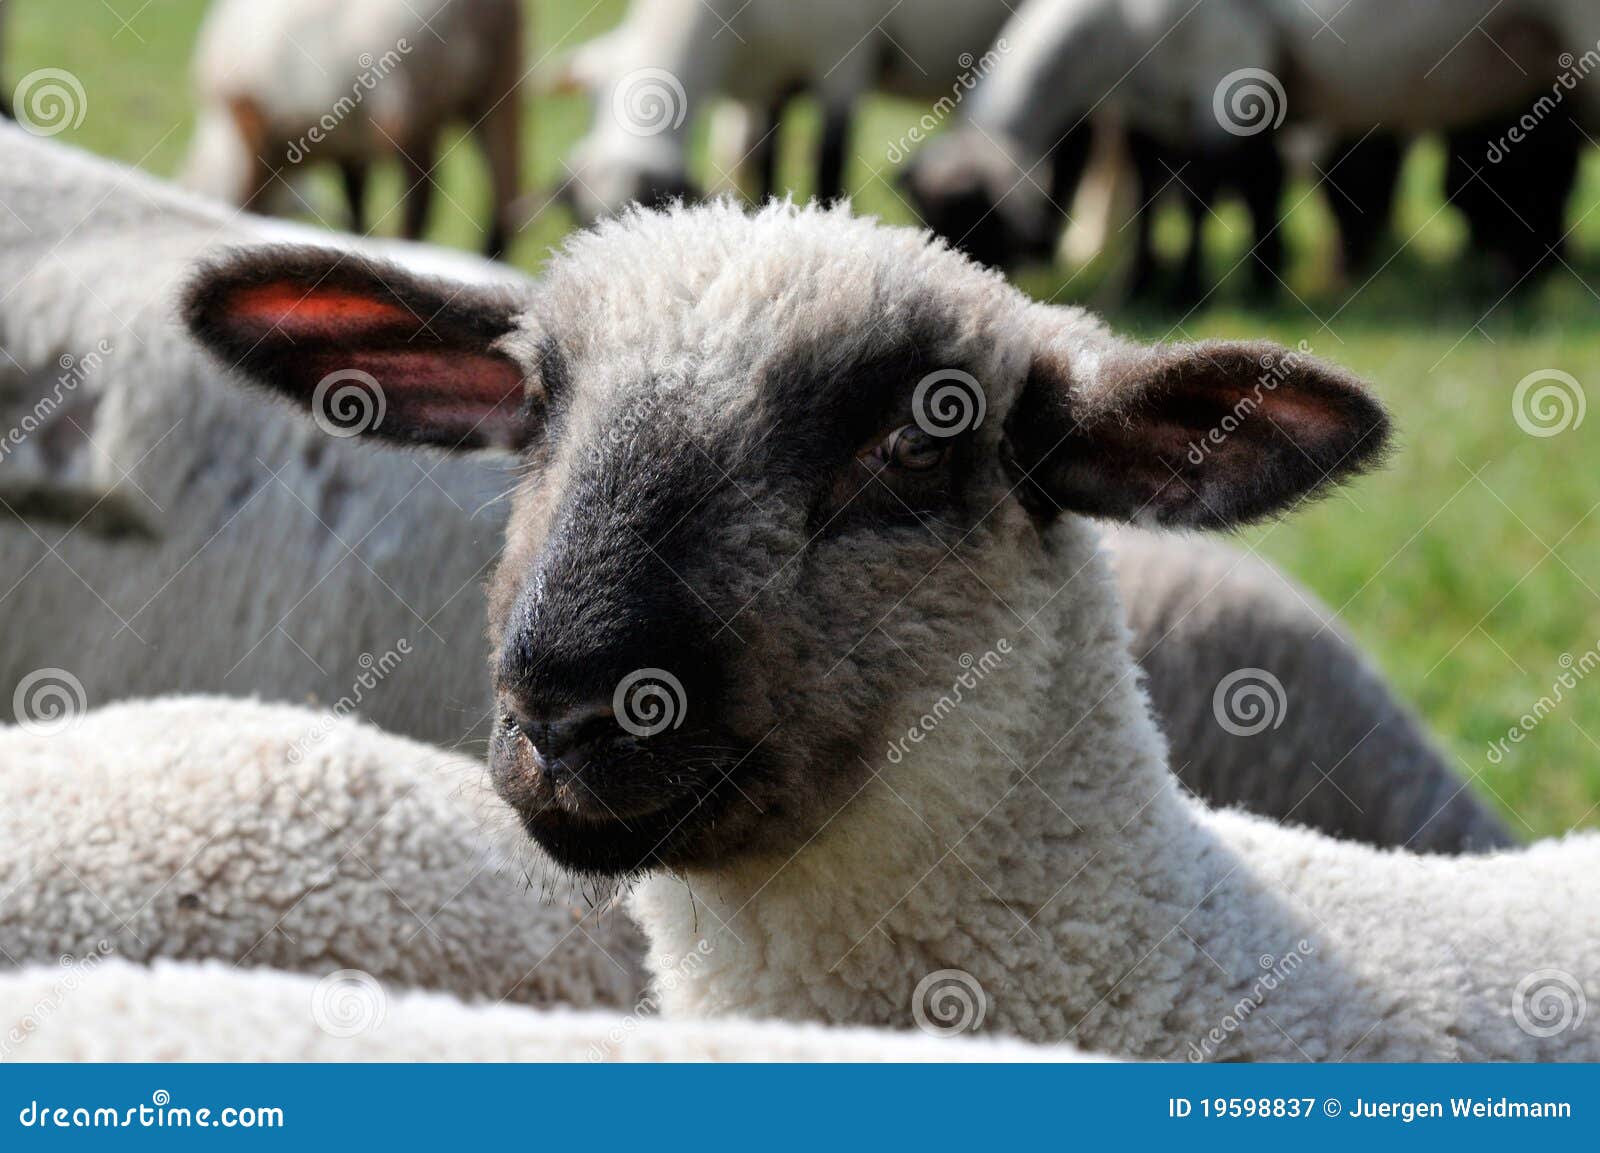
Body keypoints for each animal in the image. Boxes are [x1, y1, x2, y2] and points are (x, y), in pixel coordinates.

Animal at [179, 0, 525, 258]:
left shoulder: (252, 131)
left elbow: (251, 201)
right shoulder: (348, 144)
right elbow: (356, 199)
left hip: (405, 97)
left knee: (422, 195)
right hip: (498, 82)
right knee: (505, 195)